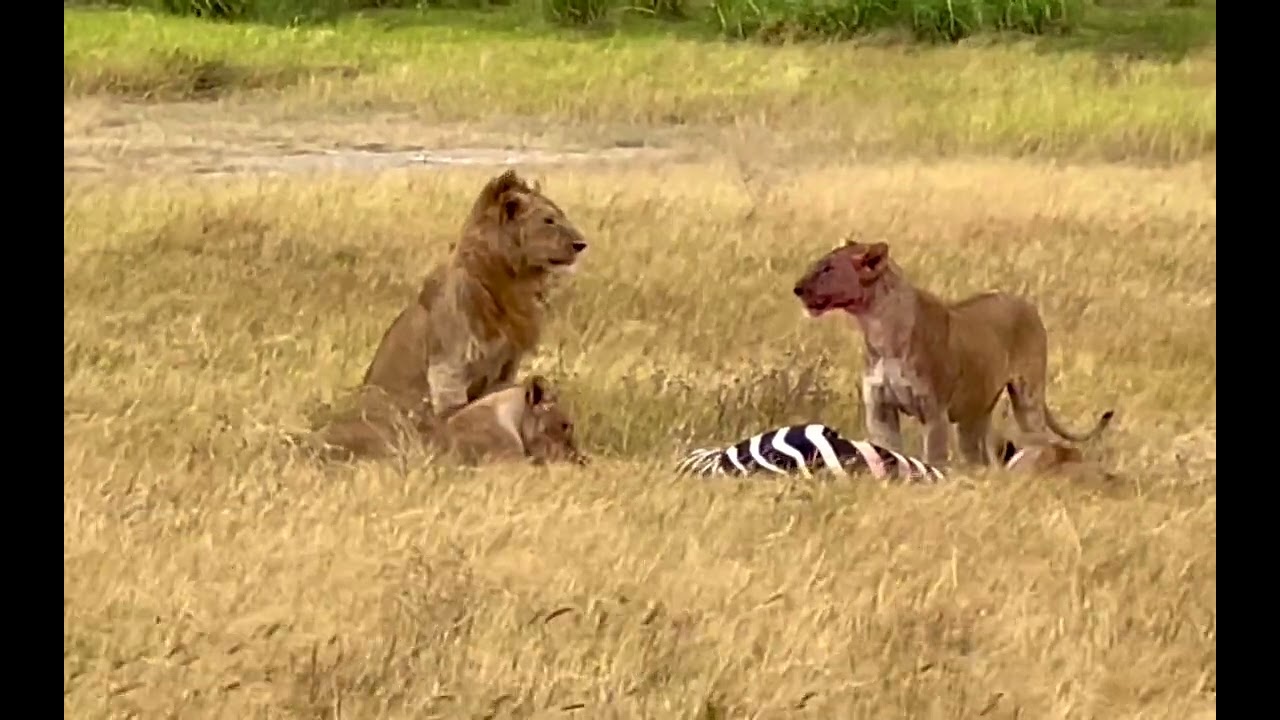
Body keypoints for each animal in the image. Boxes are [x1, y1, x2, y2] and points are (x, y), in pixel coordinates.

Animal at [792, 240, 1113, 468]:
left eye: (828, 269)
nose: (797, 288)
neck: (877, 327)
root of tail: (1024, 302)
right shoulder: (880, 408)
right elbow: (887, 449)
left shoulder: (933, 410)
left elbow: (934, 456)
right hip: (976, 411)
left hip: (1028, 398)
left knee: (1040, 438)